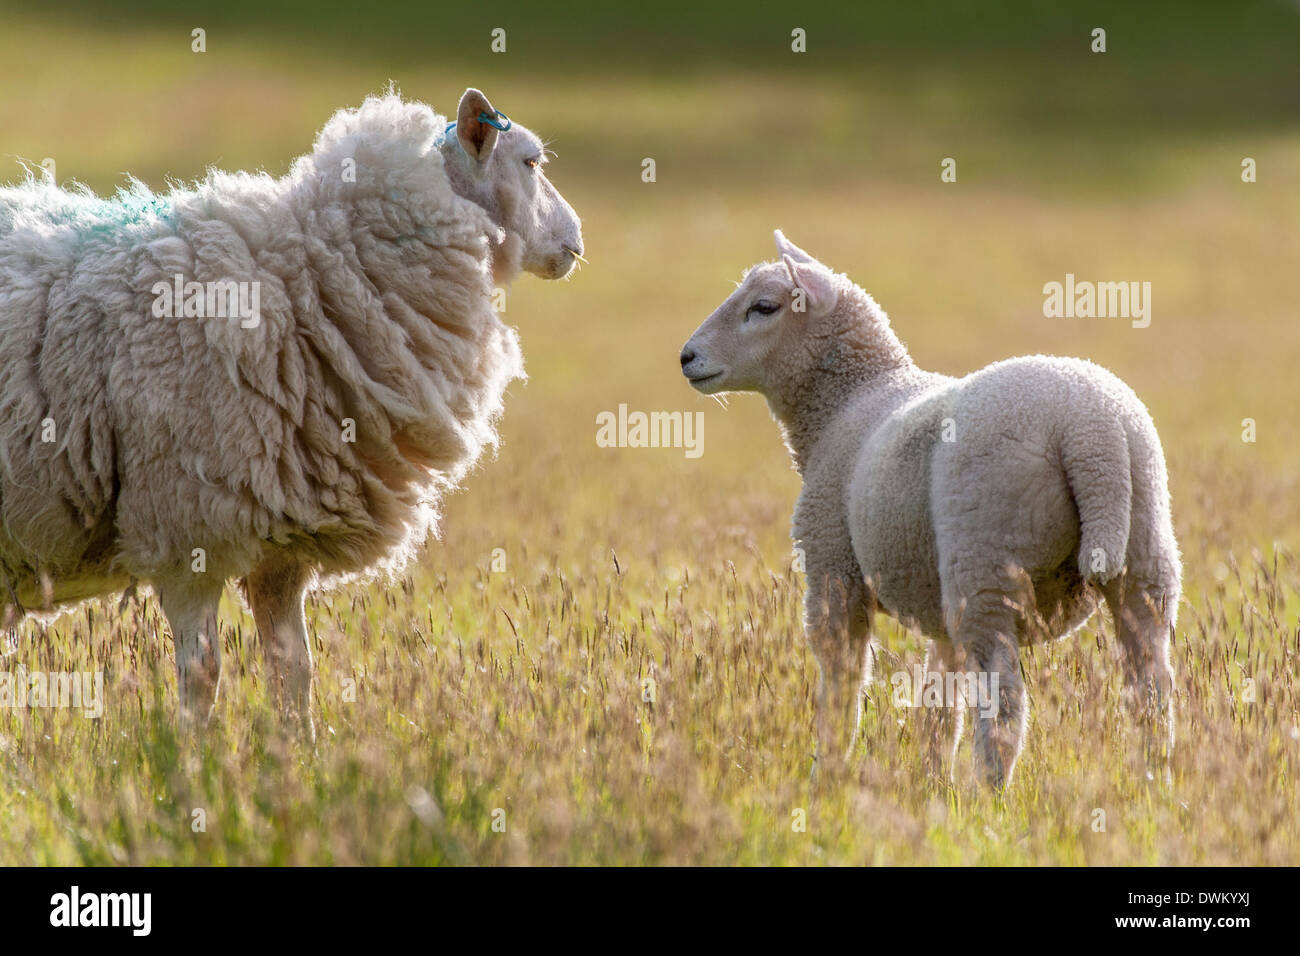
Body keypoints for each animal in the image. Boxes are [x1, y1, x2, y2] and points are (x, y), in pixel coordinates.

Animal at [0, 88, 583, 735]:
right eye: (531, 162)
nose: (576, 240)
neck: (309, 278)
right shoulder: (184, 526)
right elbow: (203, 674)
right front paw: (192, 756)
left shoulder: (282, 546)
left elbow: (293, 667)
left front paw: (298, 750)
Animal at [680, 231, 1180, 788]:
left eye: (763, 307)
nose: (687, 356)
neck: (849, 400)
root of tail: (1092, 430)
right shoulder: (937, 608)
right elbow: (939, 704)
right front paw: (930, 780)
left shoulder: (834, 571)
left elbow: (842, 685)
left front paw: (826, 775)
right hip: (1144, 555)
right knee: (1152, 691)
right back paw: (1152, 785)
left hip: (985, 569)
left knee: (1005, 707)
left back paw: (989, 795)